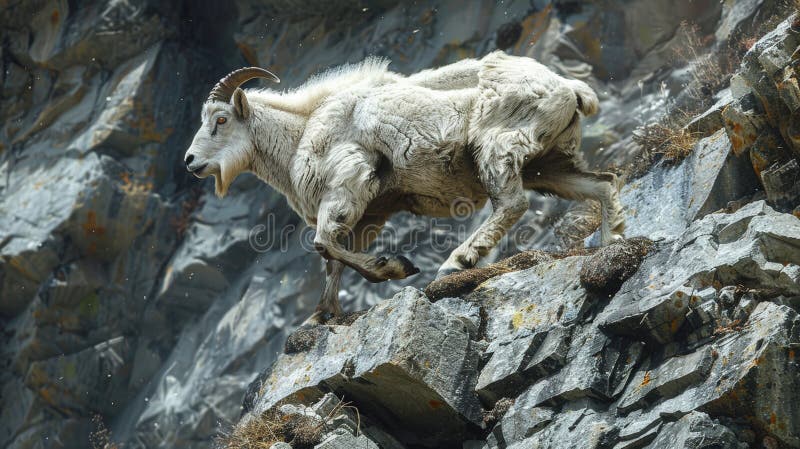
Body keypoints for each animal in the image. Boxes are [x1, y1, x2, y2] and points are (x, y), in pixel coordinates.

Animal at [184, 51, 625, 322]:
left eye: (221, 119)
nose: (190, 161)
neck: (301, 133)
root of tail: (570, 89)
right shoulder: (371, 211)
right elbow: (333, 259)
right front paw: (321, 315)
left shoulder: (350, 180)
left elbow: (325, 243)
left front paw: (396, 267)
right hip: (546, 165)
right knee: (602, 184)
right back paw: (610, 243)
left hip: (498, 144)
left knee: (512, 203)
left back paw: (457, 261)